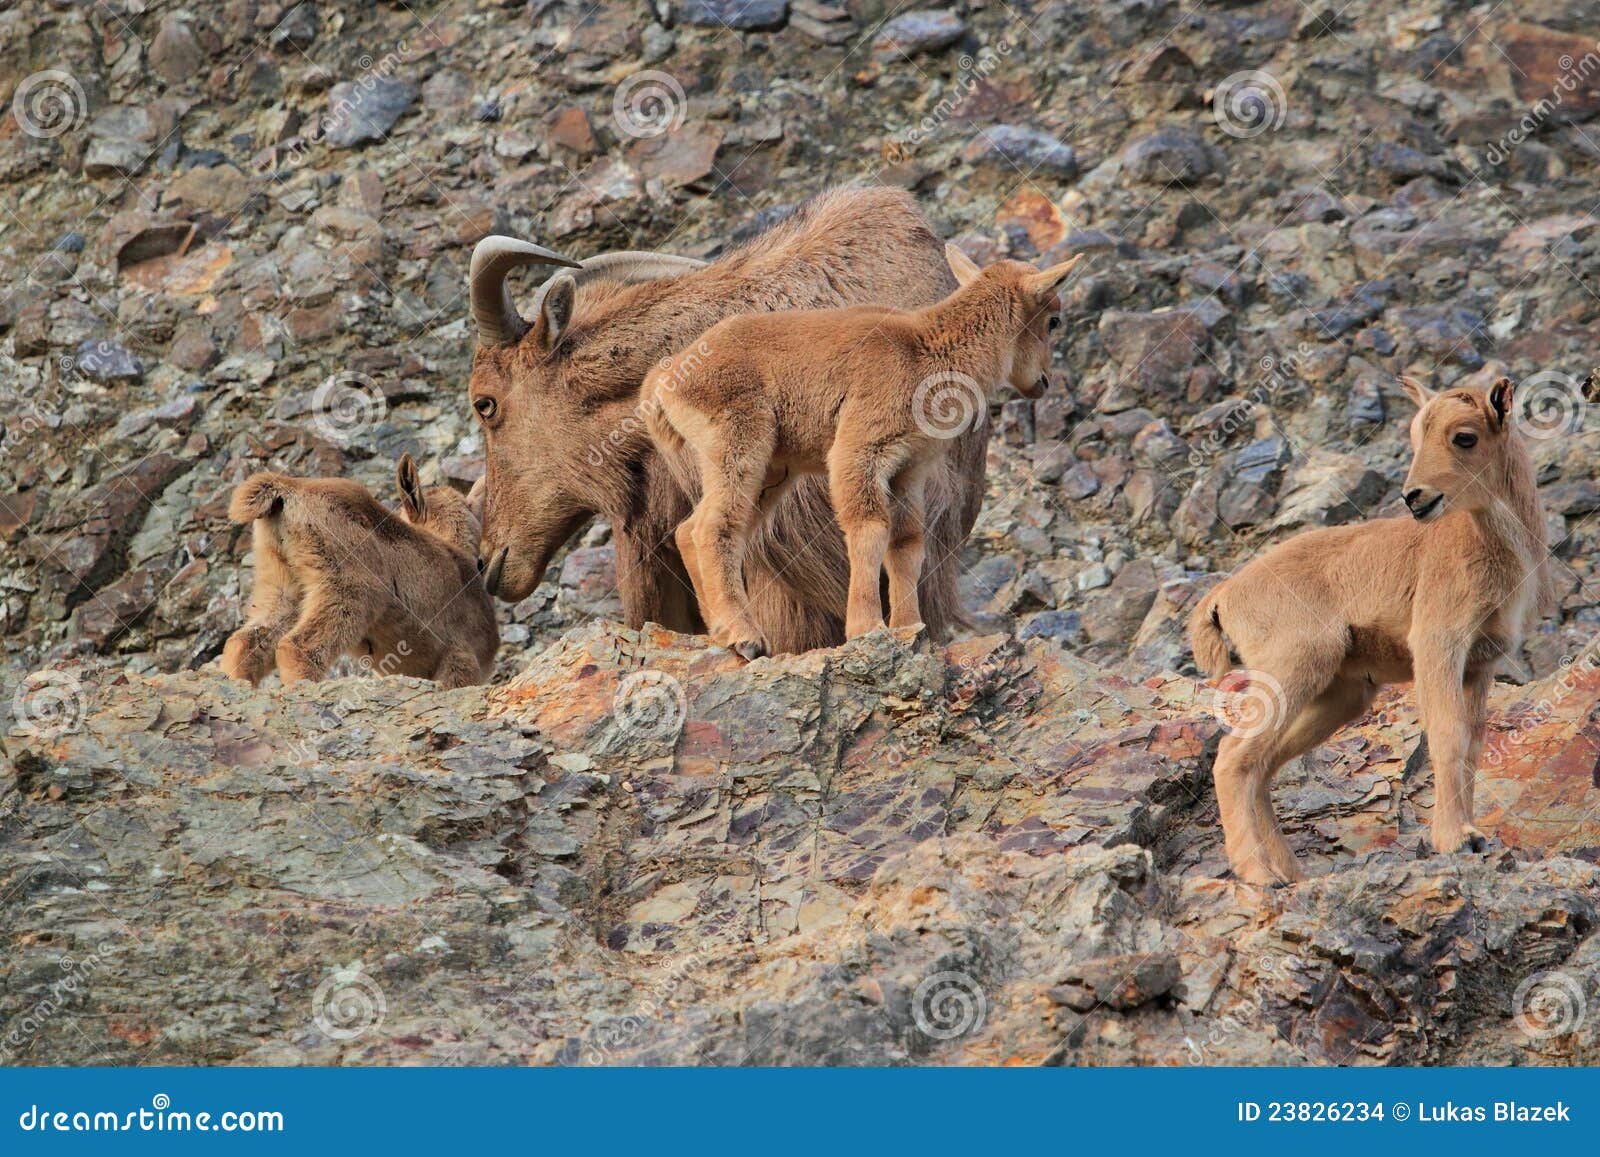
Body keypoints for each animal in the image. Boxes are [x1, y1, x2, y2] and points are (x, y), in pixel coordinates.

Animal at [221, 455, 498, 689]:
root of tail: (287, 488)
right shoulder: (460, 658)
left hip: (283, 584)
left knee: (245, 641)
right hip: (350, 586)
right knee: (298, 646)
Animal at [642, 246, 1082, 659]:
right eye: (1054, 320)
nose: (1044, 382)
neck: (927, 352)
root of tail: (664, 380)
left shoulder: (909, 469)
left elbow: (906, 542)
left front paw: (910, 627)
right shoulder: (857, 452)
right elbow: (869, 529)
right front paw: (867, 627)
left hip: (772, 471)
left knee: (690, 530)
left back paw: (718, 628)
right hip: (738, 443)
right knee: (712, 527)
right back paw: (743, 635)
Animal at [1187, 376, 1552, 886]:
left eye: (1464, 437)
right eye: (1416, 436)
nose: (1415, 496)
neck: (1491, 548)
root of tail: (1224, 595)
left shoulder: (1480, 664)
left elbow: (1473, 744)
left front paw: (1471, 831)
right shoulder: (1438, 643)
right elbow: (1447, 733)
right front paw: (1455, 839)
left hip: (1340, 695)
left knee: (1261, 765)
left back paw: (1289, 871)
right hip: (1291, 669)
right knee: (1233, 758)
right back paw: (1259, 874)